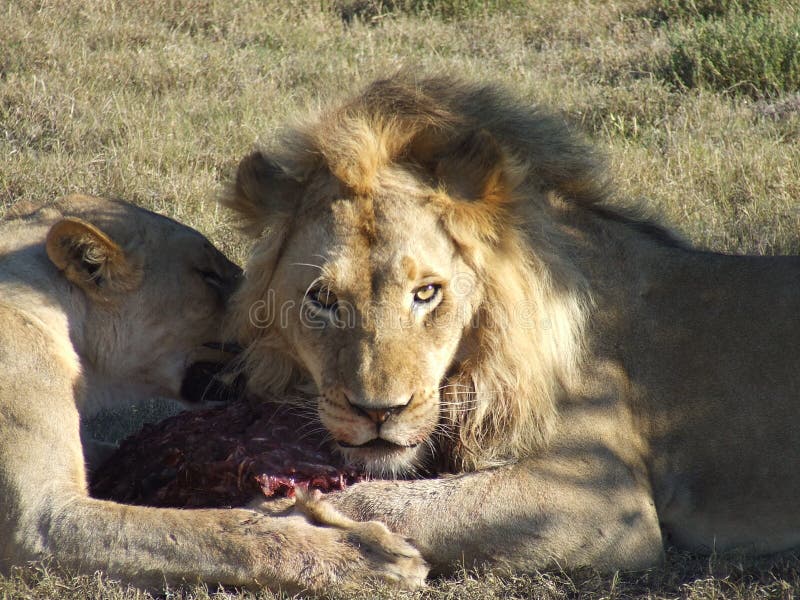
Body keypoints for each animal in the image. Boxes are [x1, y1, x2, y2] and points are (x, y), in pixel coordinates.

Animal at [224, 74, 800, 575]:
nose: (378, 412)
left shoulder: (605, 499)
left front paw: (282, 509)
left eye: (426, 293)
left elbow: (411, 502)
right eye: (322, 299)